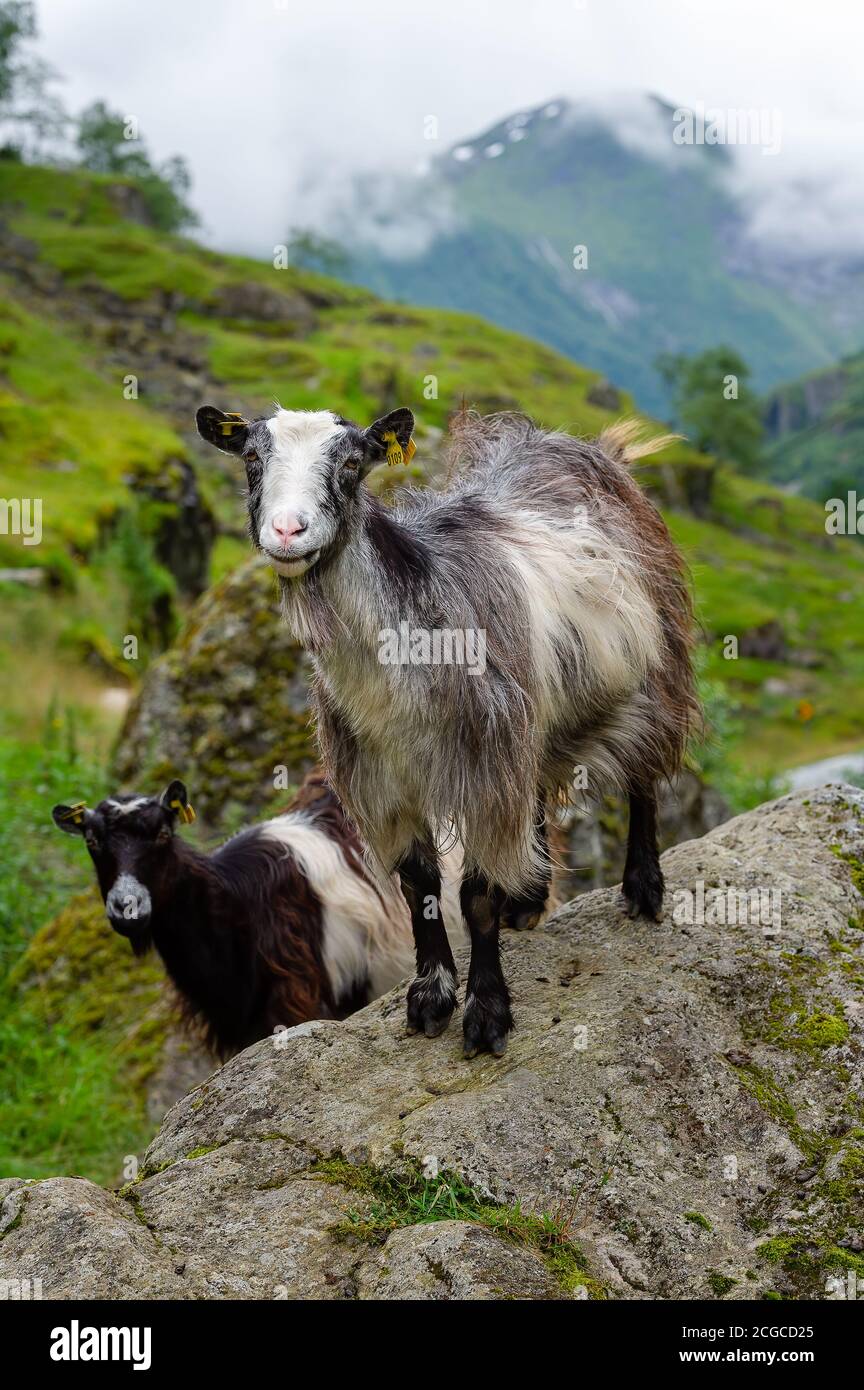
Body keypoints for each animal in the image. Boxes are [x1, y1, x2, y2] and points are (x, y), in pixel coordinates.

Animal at [197, 403, 699, 1057]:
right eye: (253, 457)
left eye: (351, 463)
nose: (287, 532)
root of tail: (592, 448)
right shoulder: (385, 781)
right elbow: (420, 887)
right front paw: (431, 997)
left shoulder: (483, 770)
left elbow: (475, 898)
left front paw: (486, 1014)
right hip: (533, 720)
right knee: (538, 791)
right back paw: (531, 898)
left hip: (653, 668)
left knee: (643, 772)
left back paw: (642, 889)